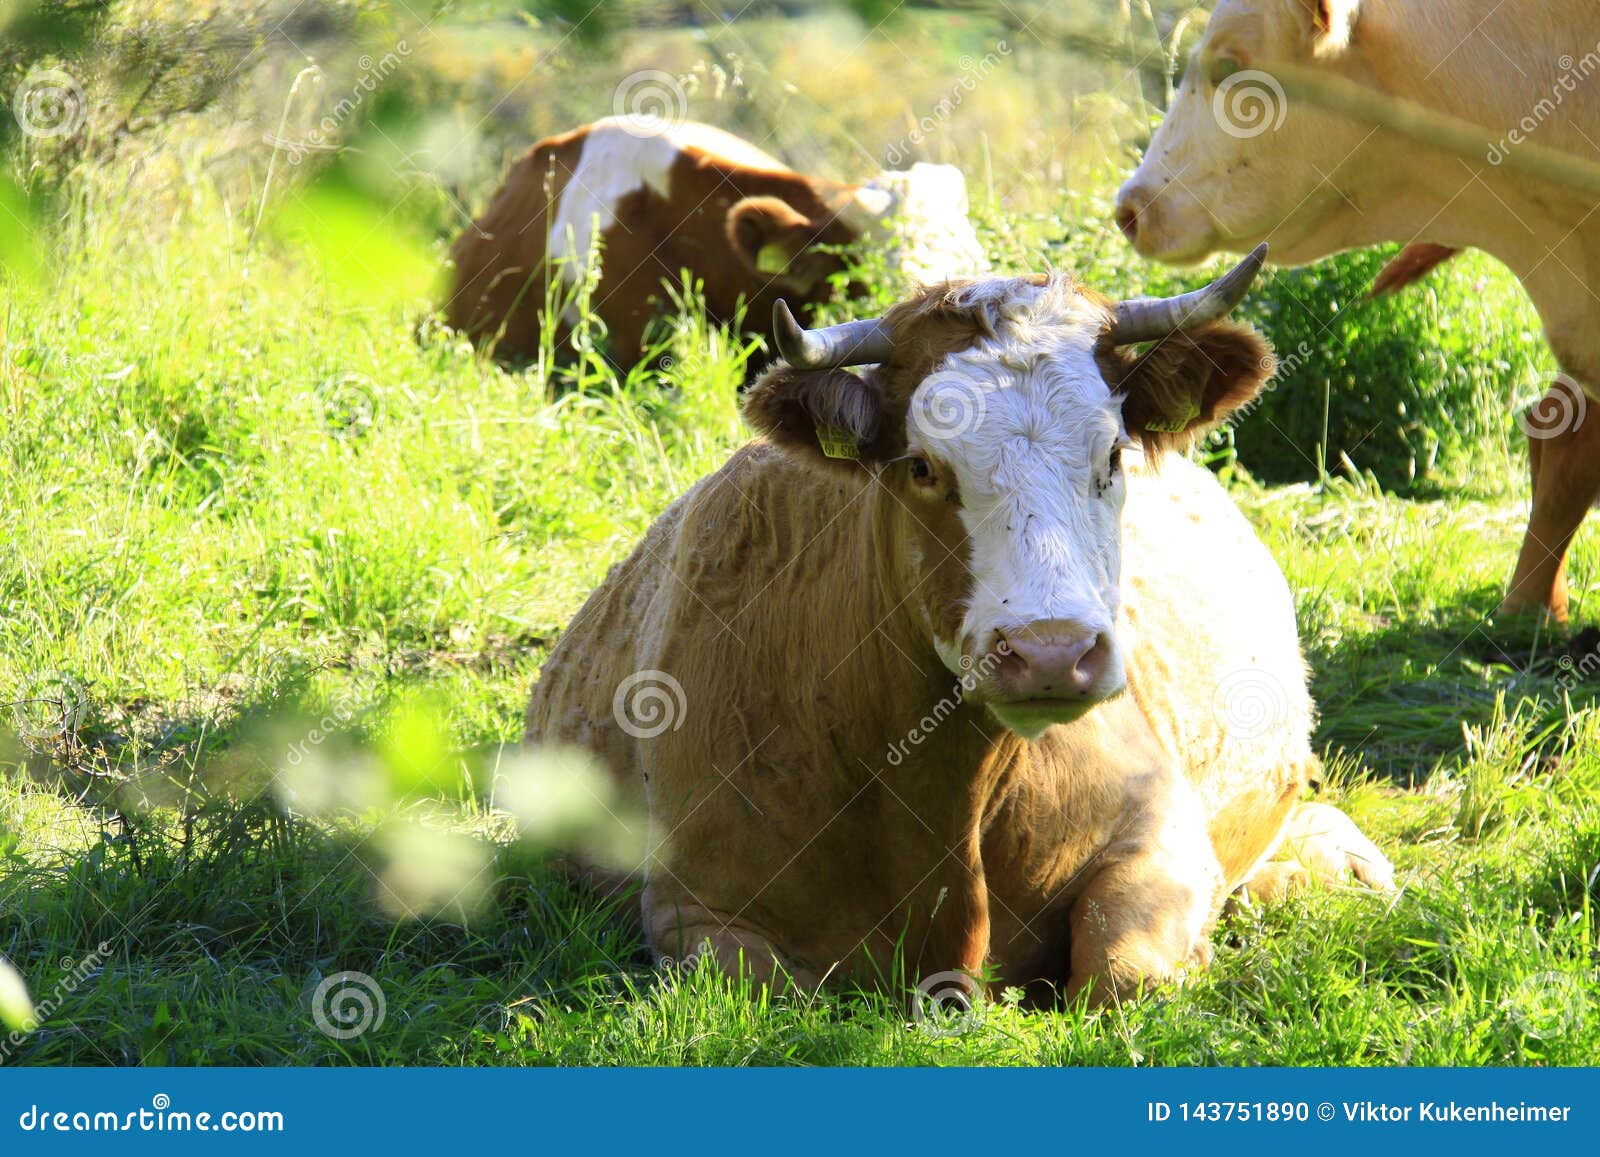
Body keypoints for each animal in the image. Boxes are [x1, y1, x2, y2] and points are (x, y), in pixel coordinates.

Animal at [524, 248, 1393, 1005]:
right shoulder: (693, 911)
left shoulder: (1160, 834)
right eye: (922, 466)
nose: (1051, 652)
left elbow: (1122, 976)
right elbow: (771, 989)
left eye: (1112, 455)